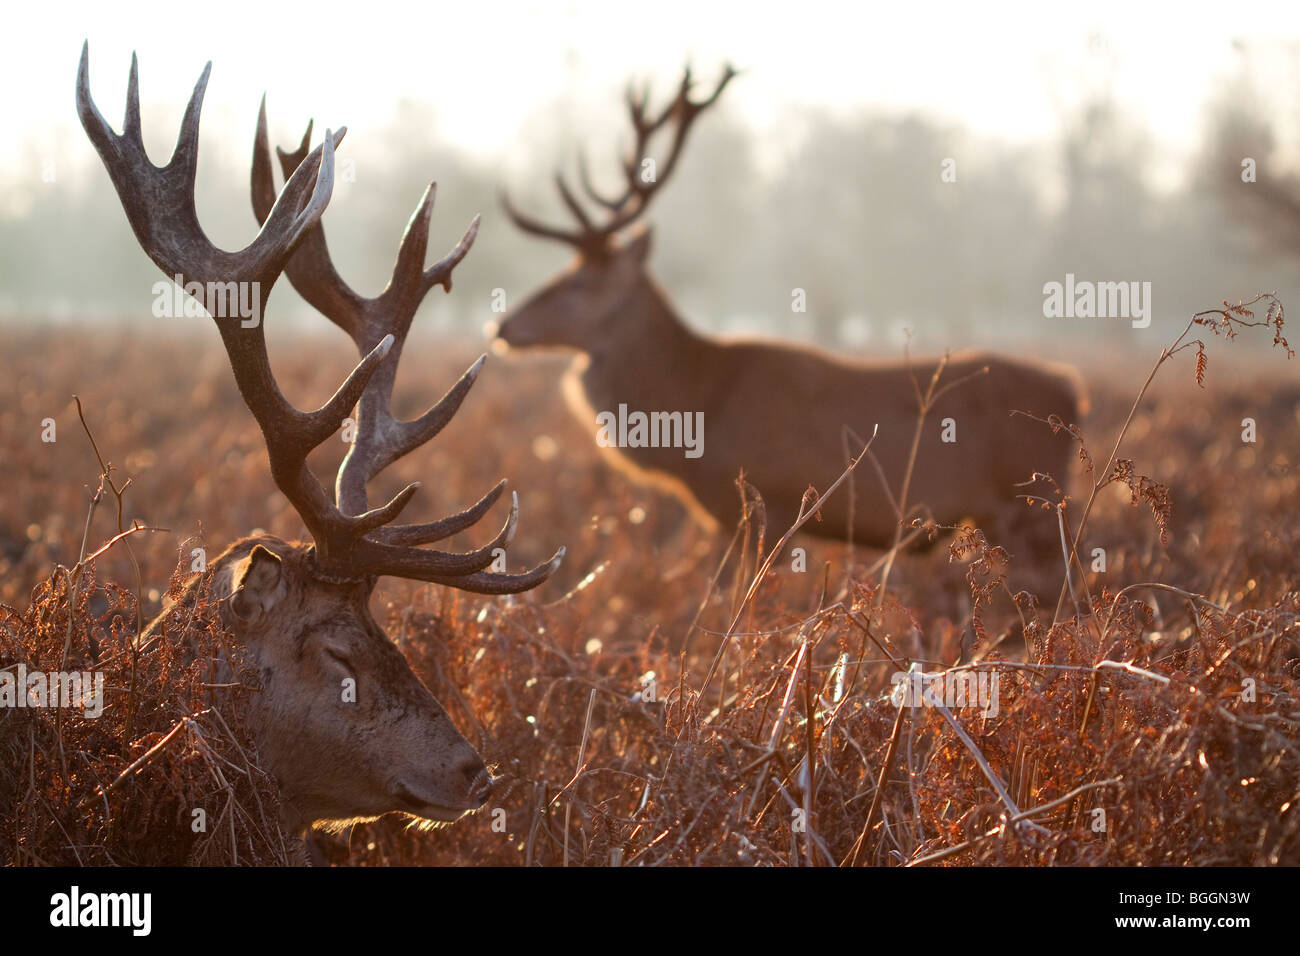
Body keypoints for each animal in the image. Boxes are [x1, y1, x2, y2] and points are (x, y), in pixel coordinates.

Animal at [497, 66, 1086, 558]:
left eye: (579, 281)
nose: (502, 324)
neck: (696, 413)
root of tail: (1074, 394)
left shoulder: (766, 505)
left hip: (1029, 506)